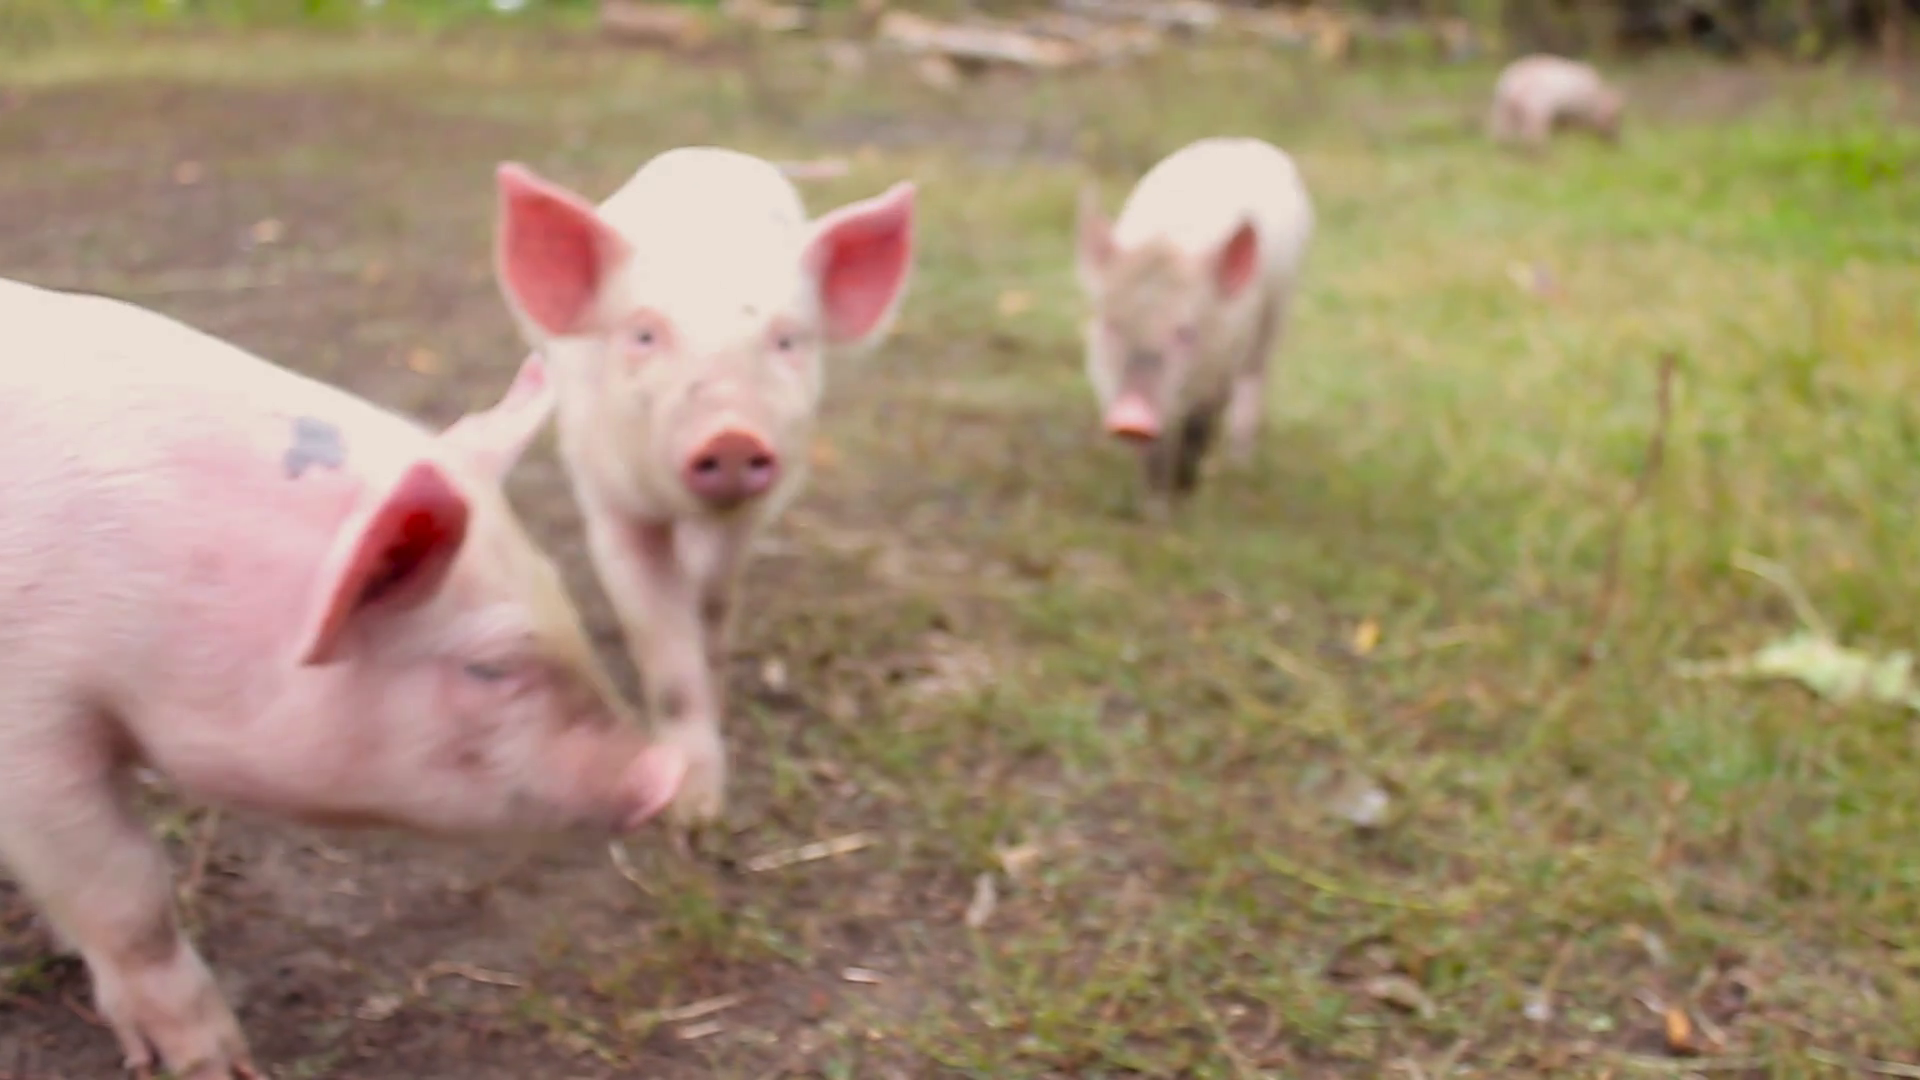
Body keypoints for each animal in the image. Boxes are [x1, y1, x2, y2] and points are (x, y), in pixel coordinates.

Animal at [0, 276, 686, 1080]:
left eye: (561, 593)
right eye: (489, 666)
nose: (664, 772)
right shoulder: (31, 727)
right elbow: (128, 895)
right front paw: (222, 1066)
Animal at [485, 147, 917, 834]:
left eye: (787, 340)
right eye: (643, 335)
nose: (733, 435)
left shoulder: (757, 504)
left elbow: (714, 592)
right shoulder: (609, 500)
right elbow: (661, 636)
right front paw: (693, 816)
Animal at [1074, 136, 1315, 515]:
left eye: (1185, 333)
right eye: (1112, 325)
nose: (1131, 420)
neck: (1168, 242)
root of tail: (1241, 140)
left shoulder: (1224, 362)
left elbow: (1199, 430)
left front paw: (1184, 501)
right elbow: (1155, 449)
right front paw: (1154, 509)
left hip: (1275, 315)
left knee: (1256, 377)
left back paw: (1240, 465)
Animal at [1486, 54, 1626, 147]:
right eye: (1616, 116)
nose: (1616, 140)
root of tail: (1510, 83)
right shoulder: (1576, 112)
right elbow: (1576, 126)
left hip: (1501, 108)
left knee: (1502, 131)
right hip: (1535, 109)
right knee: (1531, 133)